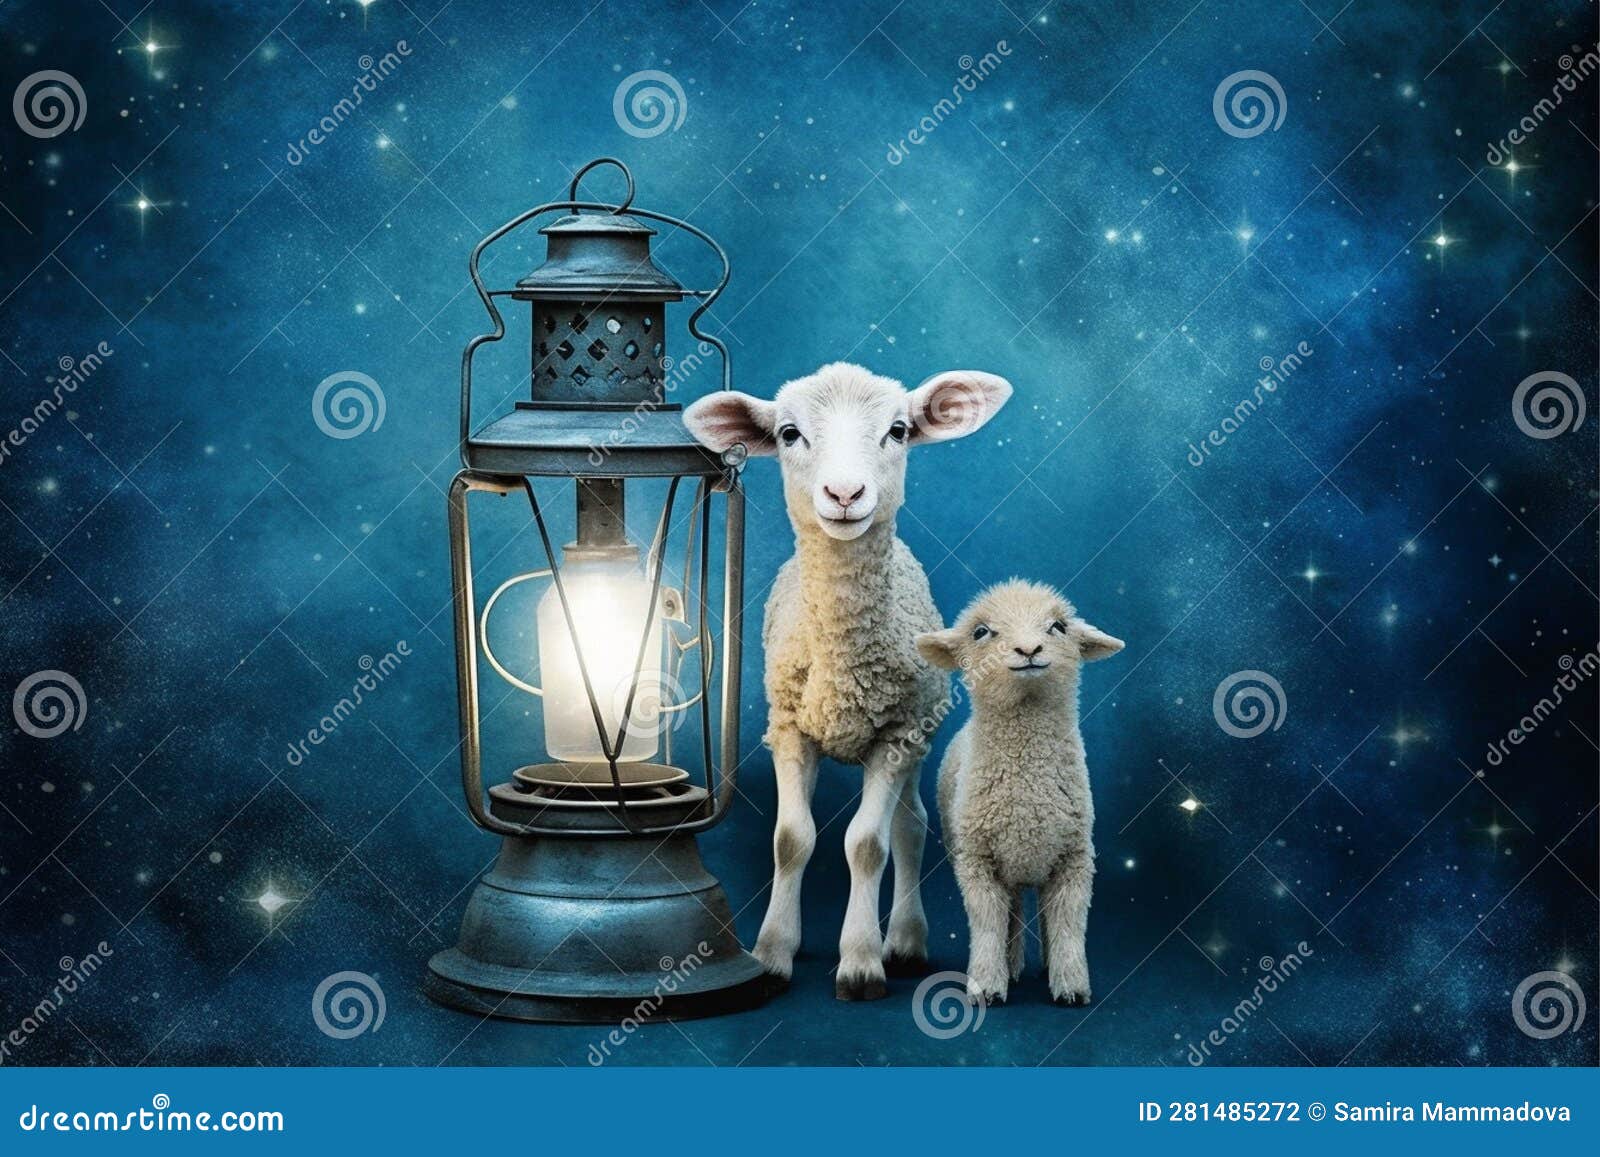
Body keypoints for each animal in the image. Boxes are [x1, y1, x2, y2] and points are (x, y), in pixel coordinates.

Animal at [684, 362, 1012, 999]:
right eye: (788, 433)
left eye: (899, 430)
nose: (844, 495)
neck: (841, 665)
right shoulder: (788, 728)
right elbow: (791, 840)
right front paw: (773, 953)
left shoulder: (895, 737)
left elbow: (866, 845)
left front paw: (860, 963)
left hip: (918, 734)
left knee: (909, 828)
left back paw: (903, 941)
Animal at [914, 579, 1124, 1006]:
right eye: (981, 631)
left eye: (1059, 626)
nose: (1029, 650)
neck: (1027, 798)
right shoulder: (976, 862)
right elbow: (988, 925)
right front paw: (985, 985)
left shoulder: (1074, 859)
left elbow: (1068, 925)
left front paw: (1071, 985)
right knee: (1010, 913)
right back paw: (1010, 968)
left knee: (1041, 913)